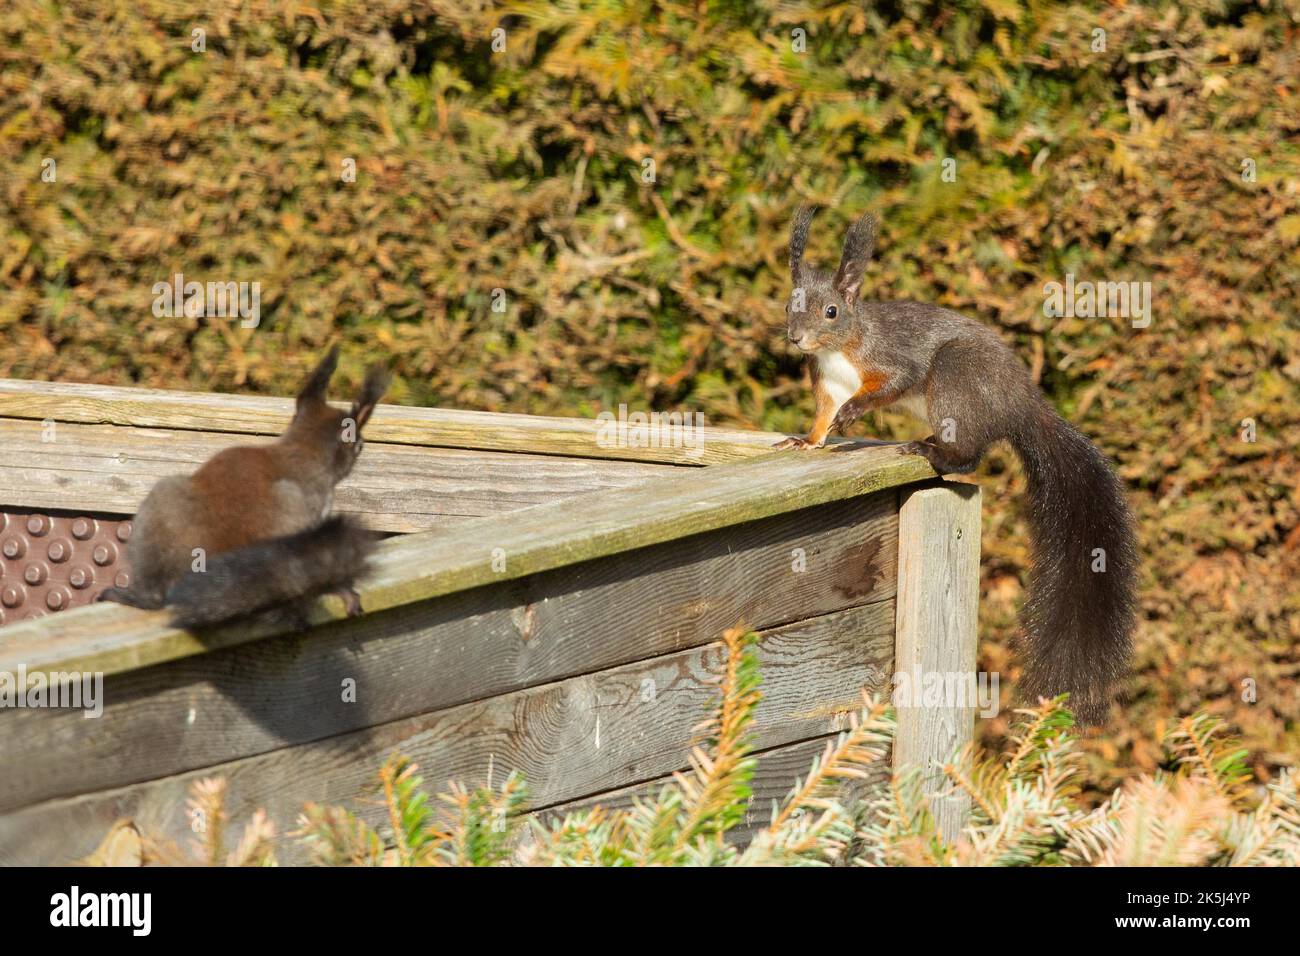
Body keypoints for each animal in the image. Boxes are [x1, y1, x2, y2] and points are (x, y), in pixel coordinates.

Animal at [775, 206, 1137, 724]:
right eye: (791, 304)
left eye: (832, 311)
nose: (797, 338)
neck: (837, 351)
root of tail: (1021, 406)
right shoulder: (826, 384)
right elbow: (822, 419)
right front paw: (806, 442)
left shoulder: (891, 360)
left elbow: (891, 383)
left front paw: (855, 412)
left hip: (955, 378)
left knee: (970, 453)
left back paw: (931, 451)